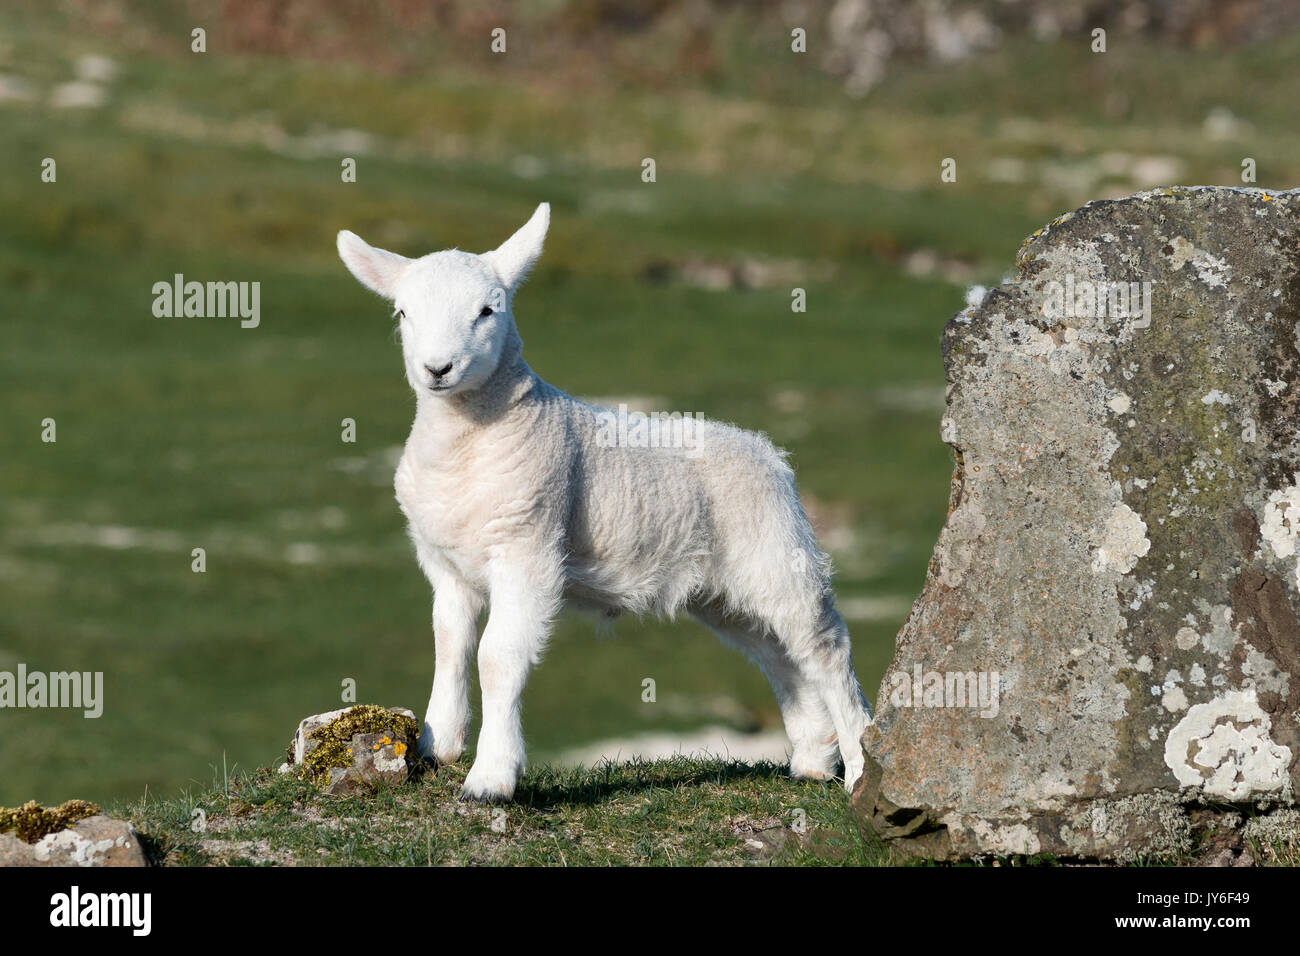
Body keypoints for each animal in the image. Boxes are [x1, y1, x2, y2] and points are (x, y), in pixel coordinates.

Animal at [337, 203, 872, 802]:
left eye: (488, 310)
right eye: (403, 312)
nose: (437, 369)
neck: (467, 443)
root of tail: (770, 454)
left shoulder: (528, 551)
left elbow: (497, 657)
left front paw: (491, 777)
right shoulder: (445, 564)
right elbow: (449, 645)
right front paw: (438, 745)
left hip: (778, 555)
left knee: (826, 649)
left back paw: (859, 764)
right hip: (724, 590)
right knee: (781, 658)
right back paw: (812, 758)